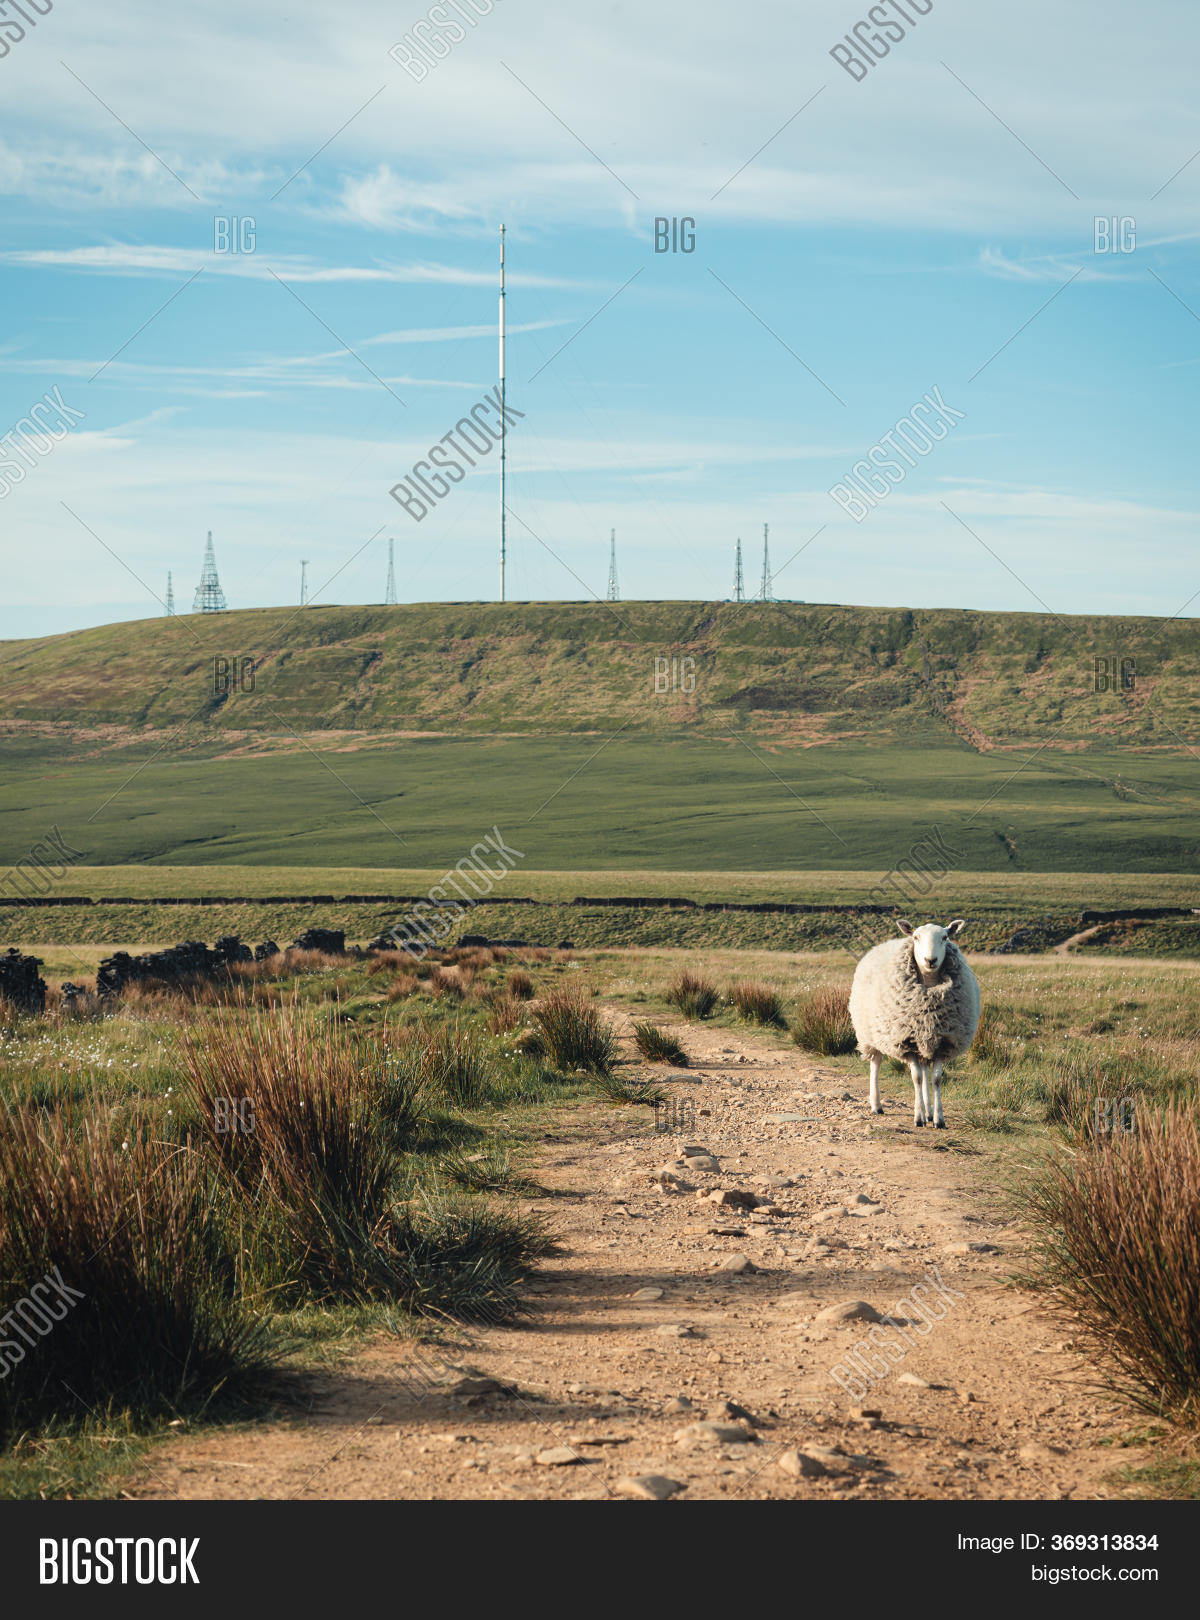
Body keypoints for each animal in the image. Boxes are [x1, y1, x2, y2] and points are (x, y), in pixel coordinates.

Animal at [848, 918, 981, 1128]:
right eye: (916, 937)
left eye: (945, 937)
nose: (930, 960)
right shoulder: (906, 1042)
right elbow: (916, 1078)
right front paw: (918, 1117)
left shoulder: (942, 1042)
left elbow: (936, 1079)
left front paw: (938, 1118)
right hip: (870, 1034)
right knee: (876, 1063)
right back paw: (877, 1105)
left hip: (925, 1040)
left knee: (925, 1070)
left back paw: (928, 1112)